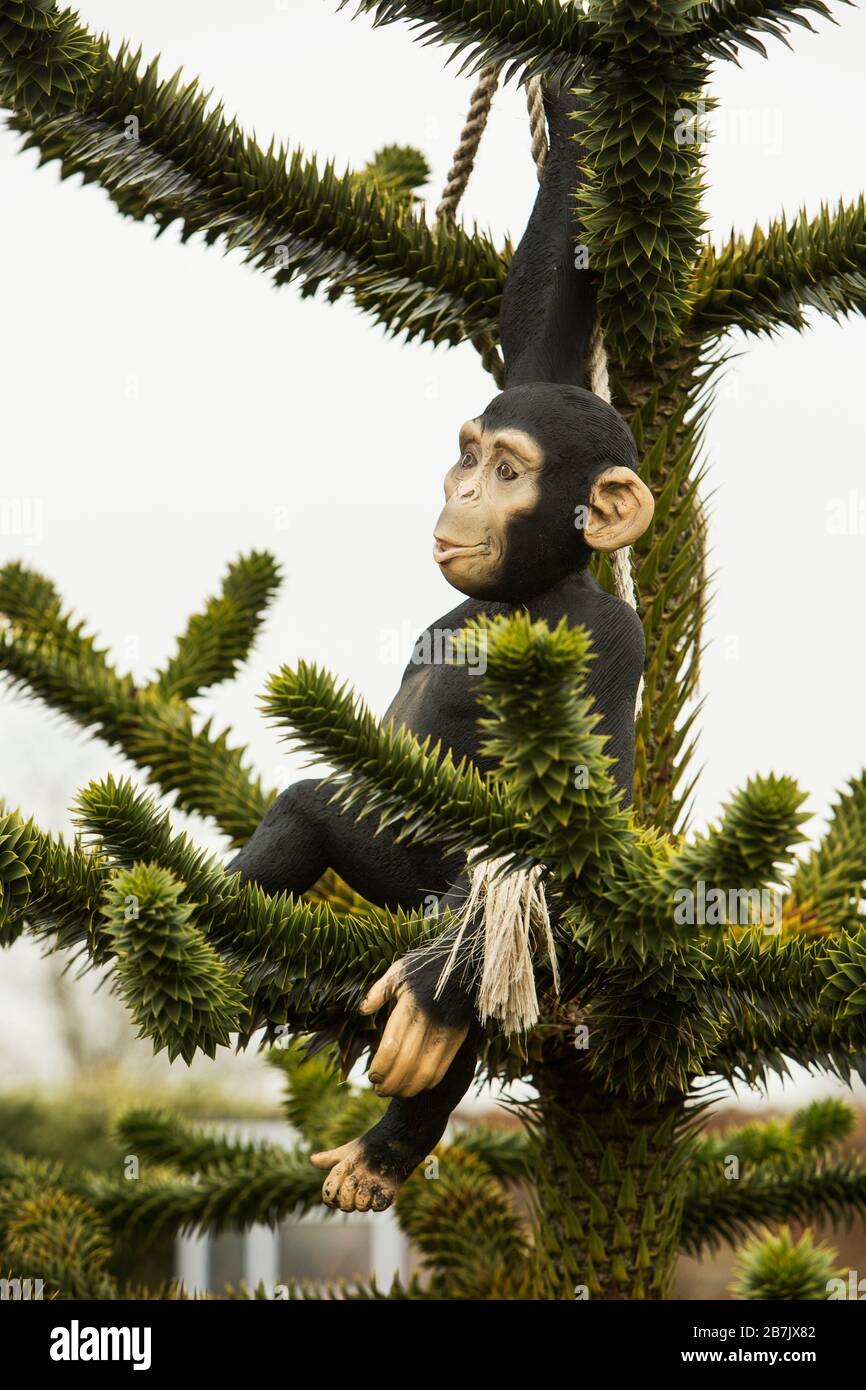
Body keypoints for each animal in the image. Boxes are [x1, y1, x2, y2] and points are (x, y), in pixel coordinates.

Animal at [227, 87, 654, 1214]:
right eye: (469, 454)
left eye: (508, 471)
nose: (459, 490)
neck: (528, 590)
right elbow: (543, 311)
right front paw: (569, 99)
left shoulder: (611, 637)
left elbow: (573, 806)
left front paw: (430, 996)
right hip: (387, 848)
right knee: (311, 805)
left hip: (468, 900)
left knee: (483, 961)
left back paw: (387, 1140)